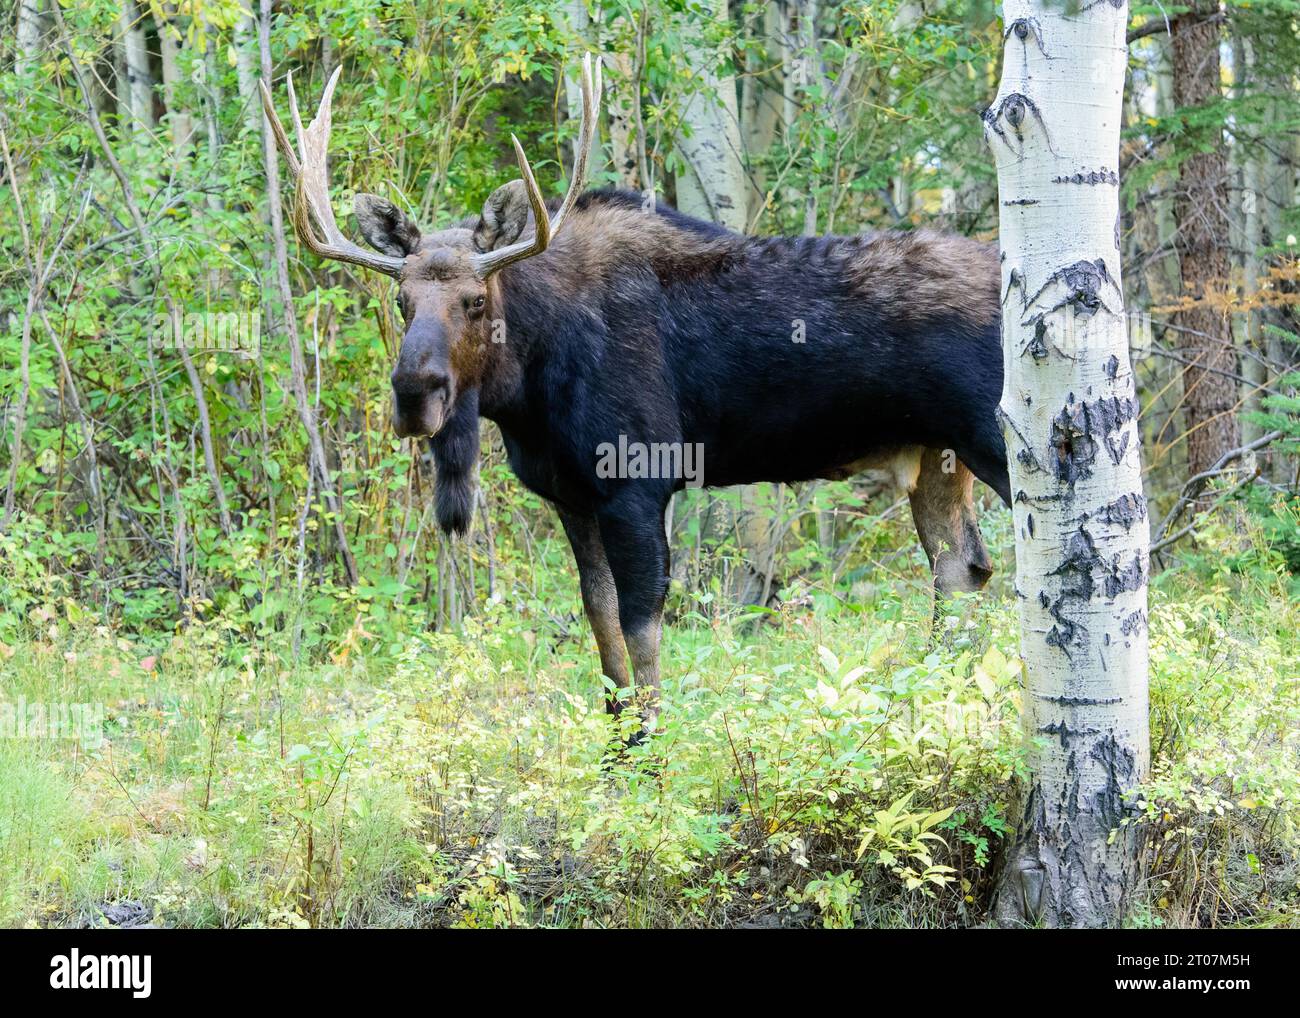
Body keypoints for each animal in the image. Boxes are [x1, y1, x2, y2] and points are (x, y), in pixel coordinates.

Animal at [260, 55, 1012, 743]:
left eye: (474, 300)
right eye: (402, 299)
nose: (415, 393)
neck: (528, 392)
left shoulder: (638, 482)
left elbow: (641, 625)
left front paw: (651, 756)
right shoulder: (569, 495)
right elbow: (600, 624)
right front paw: (616, 753)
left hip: (994, 438)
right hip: (938, 455)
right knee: (961, 569)